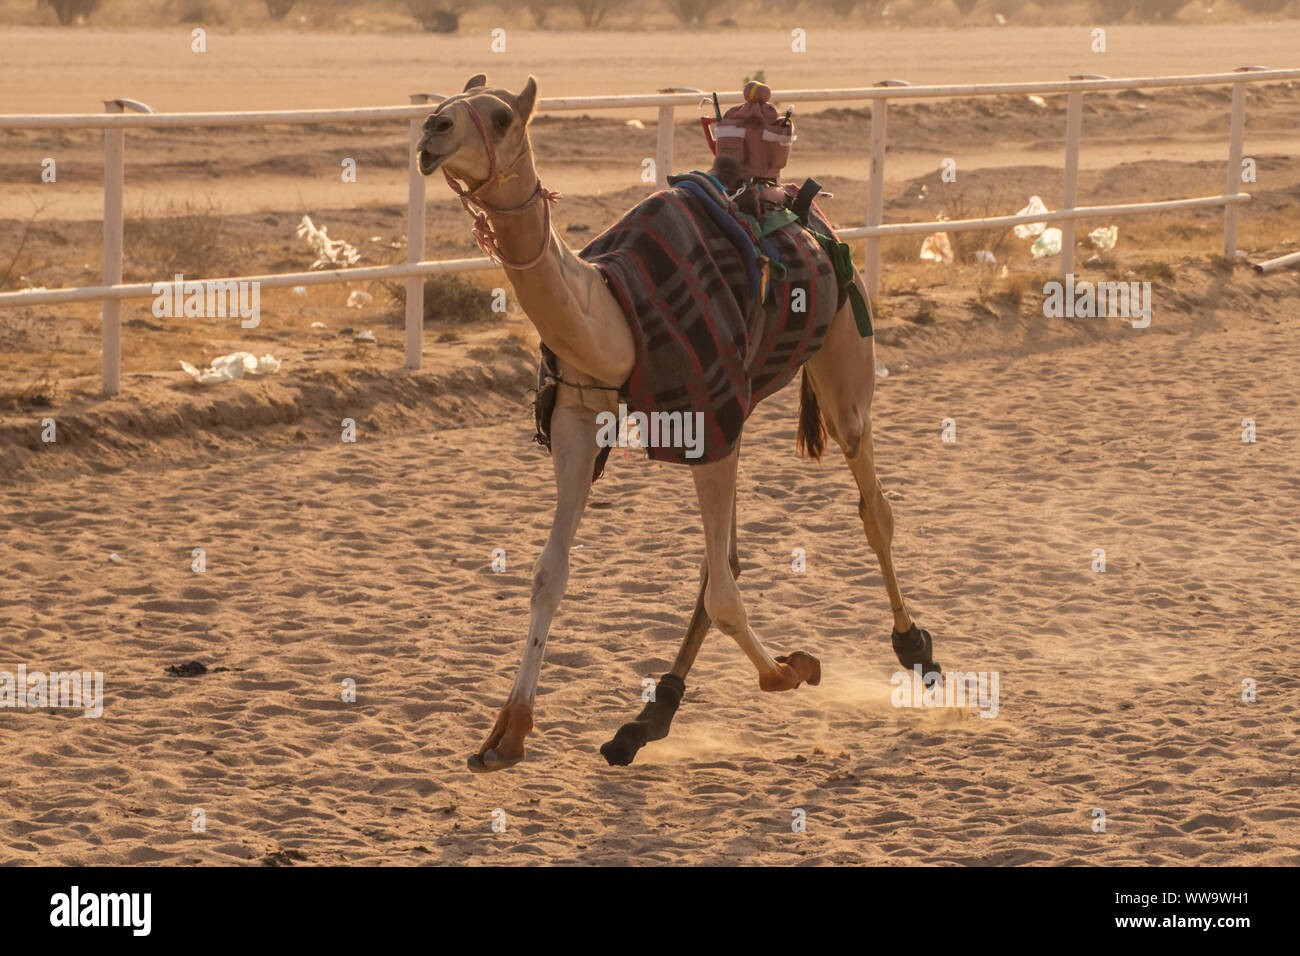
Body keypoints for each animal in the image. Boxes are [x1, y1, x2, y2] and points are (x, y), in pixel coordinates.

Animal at [418, 74, 941, 772]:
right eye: (445, 104)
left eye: (501, 117)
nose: (431, 132)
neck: (615, 308)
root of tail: (815, 215)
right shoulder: (580, 417)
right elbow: (550, 574)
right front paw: (506, 734)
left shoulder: (709, 420)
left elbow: (723, 594)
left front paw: (790, 670)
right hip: (749, 402)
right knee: (727, 557)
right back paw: (647, 719)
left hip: (843, 353)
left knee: (872, 505)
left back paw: (916, 649)